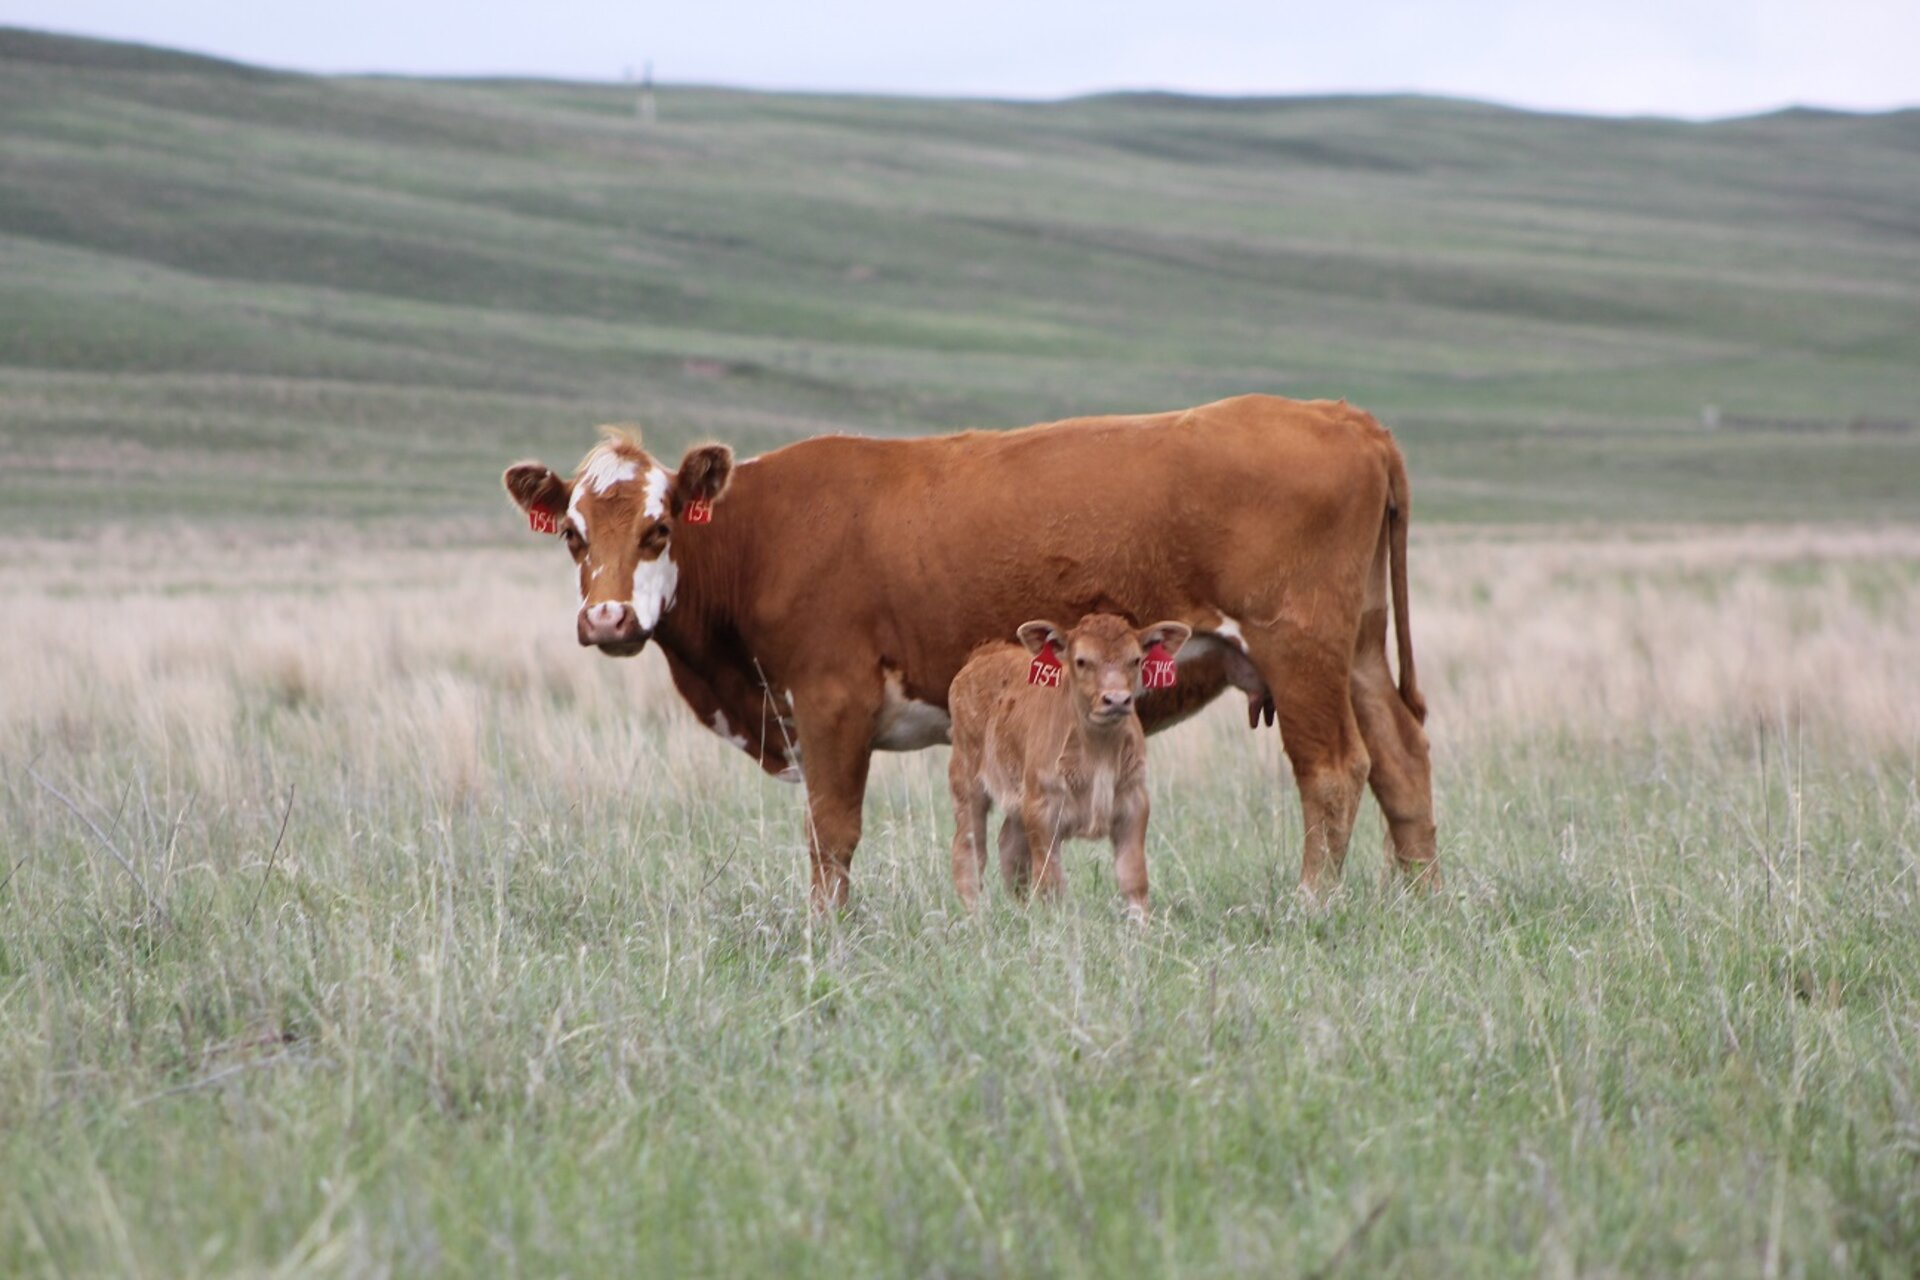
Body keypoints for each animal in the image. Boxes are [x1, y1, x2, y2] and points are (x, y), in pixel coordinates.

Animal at [947, 613, 1192, 921]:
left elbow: (1133, 876)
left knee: (1010, 848)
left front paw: (1141, 927)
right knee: (969, 851)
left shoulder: (1134, 803)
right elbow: (1050, 881)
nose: (1116, 700)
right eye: (1081, 660)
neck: (1098, 754)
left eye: (1135, 660)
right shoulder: (1042, 811)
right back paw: (976, 919)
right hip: (966, 781)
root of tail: (986, 652)